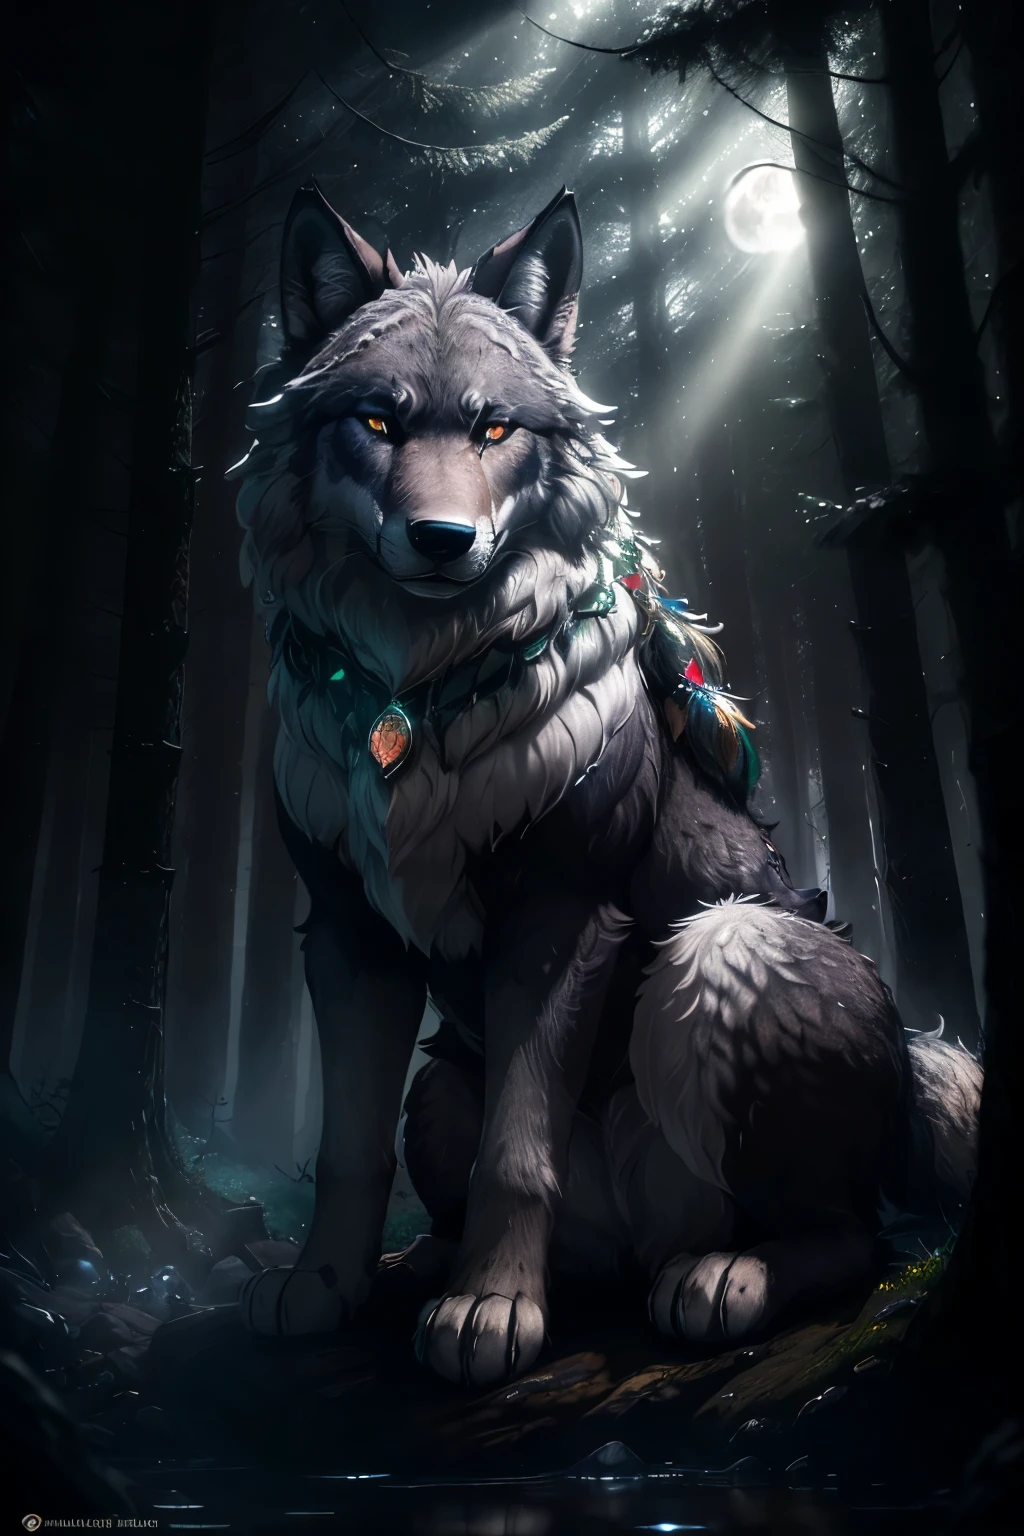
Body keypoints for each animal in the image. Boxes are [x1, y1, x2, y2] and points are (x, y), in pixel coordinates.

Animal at [234, 185, 981, 1386]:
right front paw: (322, 1286)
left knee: (852, 1233)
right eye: (380, 422)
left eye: (494, 428)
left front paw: (490, 1308)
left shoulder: (563, 914)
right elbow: (347, 1151)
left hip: (727, 948)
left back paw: (719, 1279)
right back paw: (425, 1266)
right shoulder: (347, 933)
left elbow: (518, 1148)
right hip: (443, 1083)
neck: (423, 691)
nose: (441, 540)